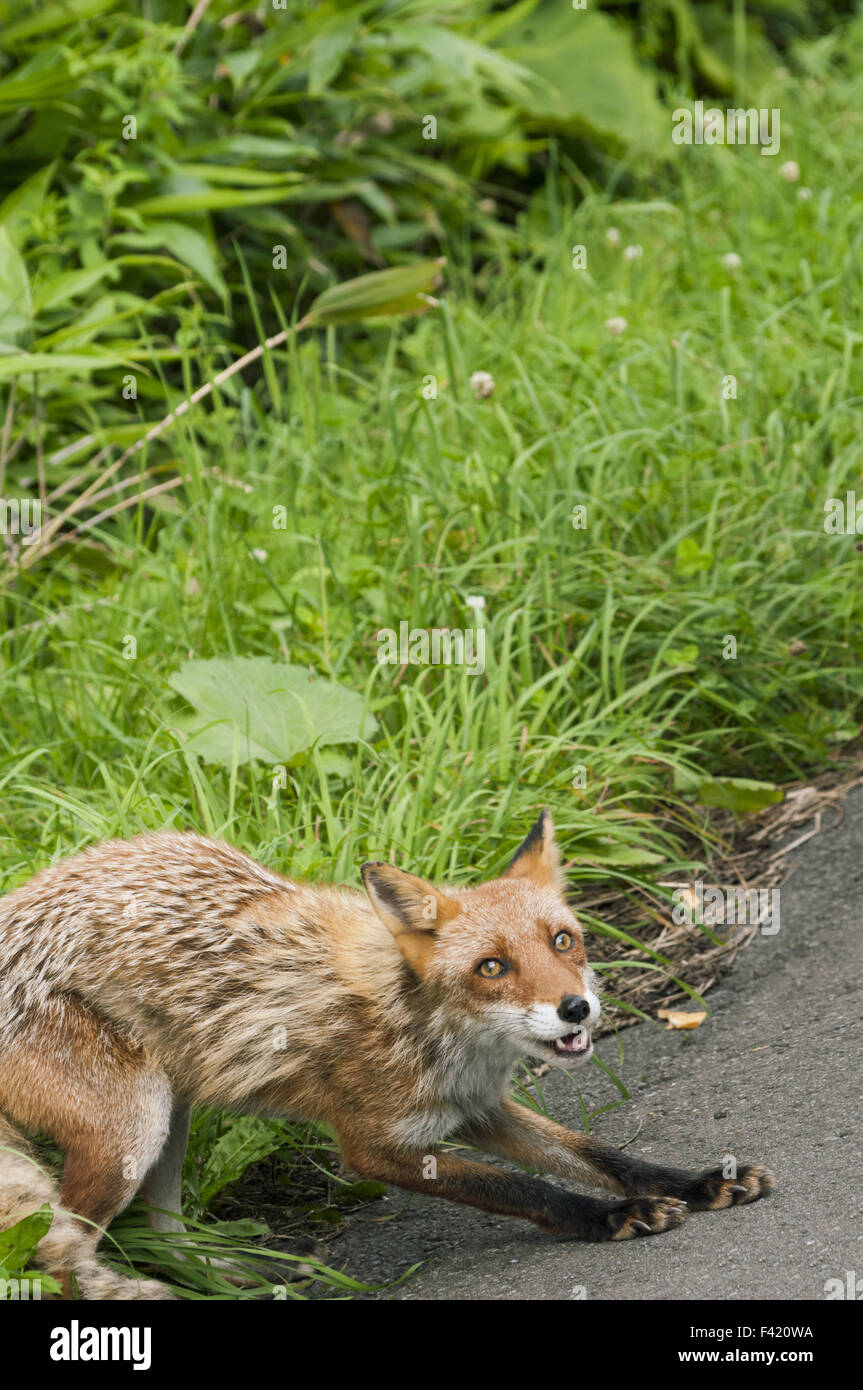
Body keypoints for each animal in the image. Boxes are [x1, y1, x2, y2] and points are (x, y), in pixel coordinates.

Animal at [0, 808, 772, 1299]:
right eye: (492, 967)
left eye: (563, 941)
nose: (575, 1009)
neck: (427, 1026)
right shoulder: (375, 1148)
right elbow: (520, 1189)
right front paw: (606, 1220)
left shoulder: (476, 1107)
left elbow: (602, 1156)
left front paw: (698, 1182)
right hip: (130, 1127)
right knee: (55, 1258)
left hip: (168, 1116)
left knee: (164, 1238)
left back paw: (235, 1282)